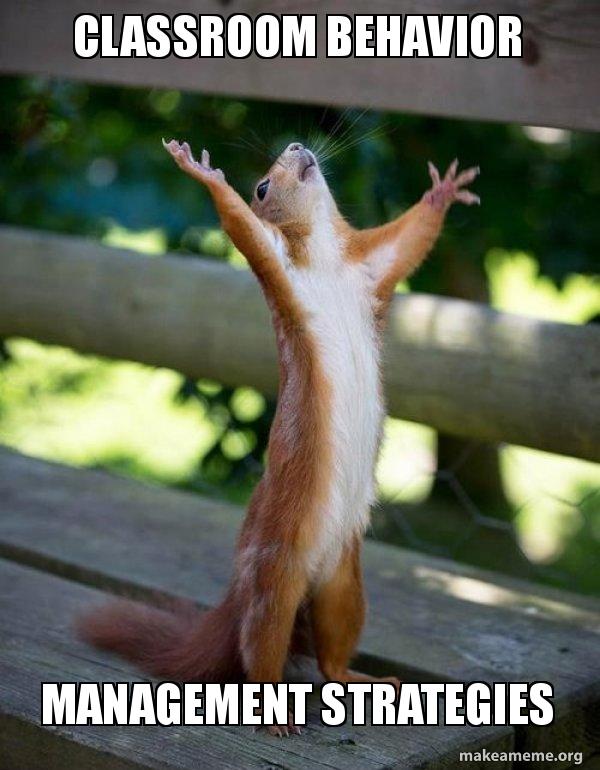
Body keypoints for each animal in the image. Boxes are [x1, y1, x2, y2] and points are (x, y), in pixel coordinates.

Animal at [79, 138, 479, 736]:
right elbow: (242, 227)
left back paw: (358, 678)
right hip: (275, 579)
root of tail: (241, 592)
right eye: (262, 186)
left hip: (344, 584)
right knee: (260, 651)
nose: (296, 146)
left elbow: (408, 241)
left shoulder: (371, 267)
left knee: (332, 651)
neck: (327, 259)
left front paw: (443, 191)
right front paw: (204, 174)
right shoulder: (278, 266)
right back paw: (275, 714)